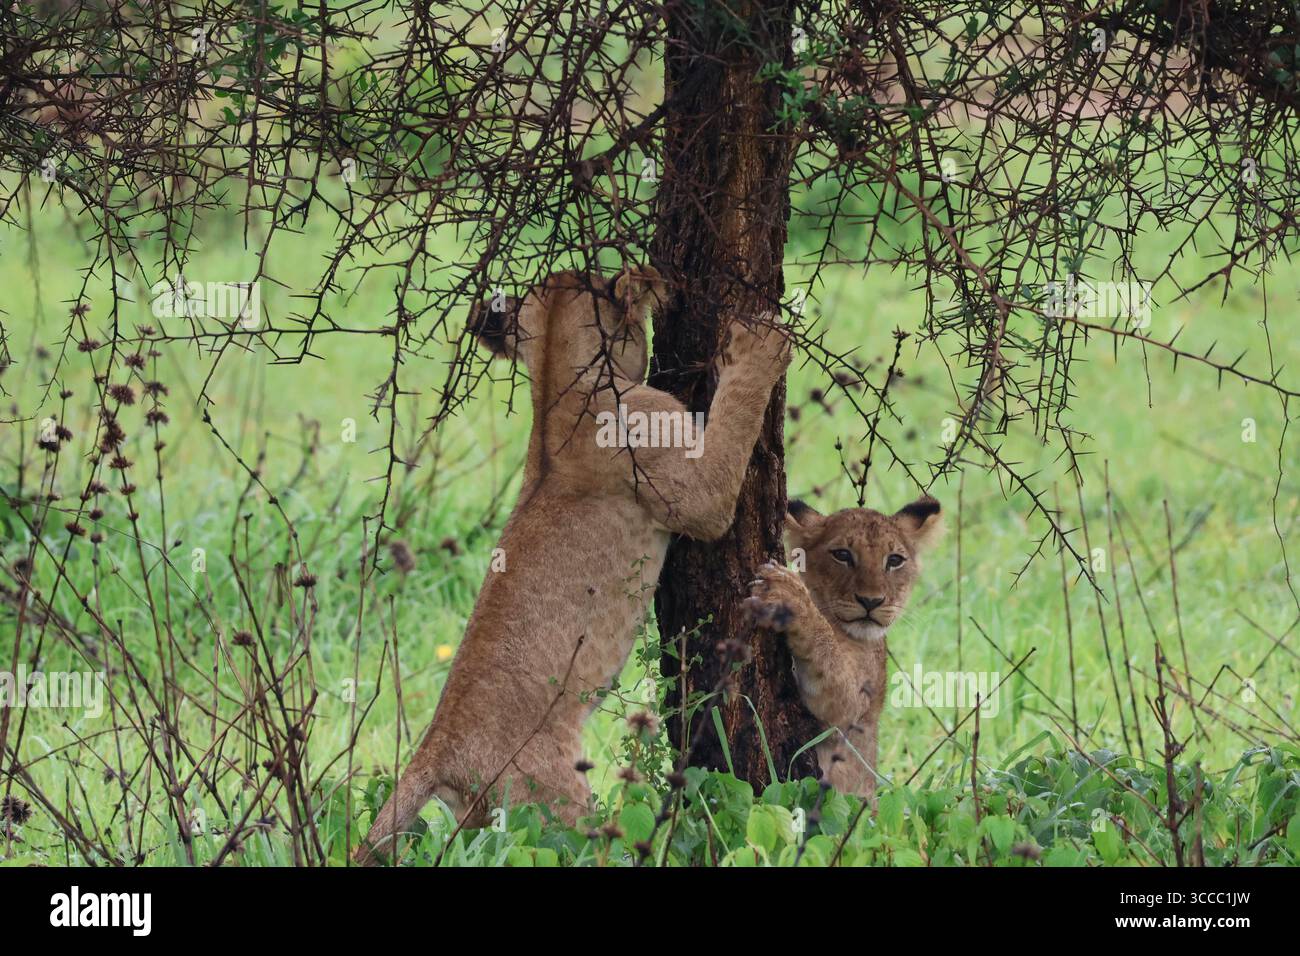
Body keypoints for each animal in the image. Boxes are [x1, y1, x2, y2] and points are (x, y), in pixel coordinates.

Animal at [354, 267, 790, 864]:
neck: (555, 385)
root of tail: (434, 750)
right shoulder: (695, 487)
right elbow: (734, 424)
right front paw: (759, 344)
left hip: (482, 819)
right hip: (559, 805)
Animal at [743, 496, 943, 801]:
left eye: (894, 560)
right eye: (842, 555)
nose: (871, 601)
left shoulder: (852, 707)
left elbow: (829, 663)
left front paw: (790, 596)